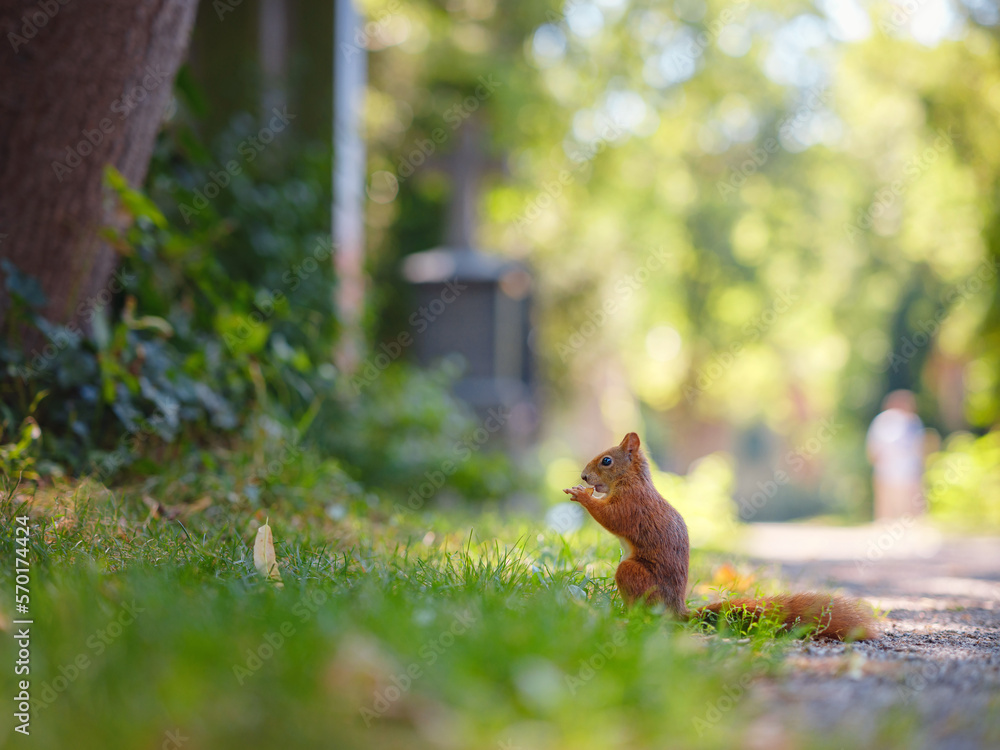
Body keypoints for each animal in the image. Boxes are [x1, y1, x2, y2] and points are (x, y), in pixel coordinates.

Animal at [563, 432, 880, 641]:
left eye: (606, 460)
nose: (583, 477)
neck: (630, 479)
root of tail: (677, 610)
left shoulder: (633, 504)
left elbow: (613, 518)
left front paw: (582, 497)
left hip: (632, 573)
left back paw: (627, 619)